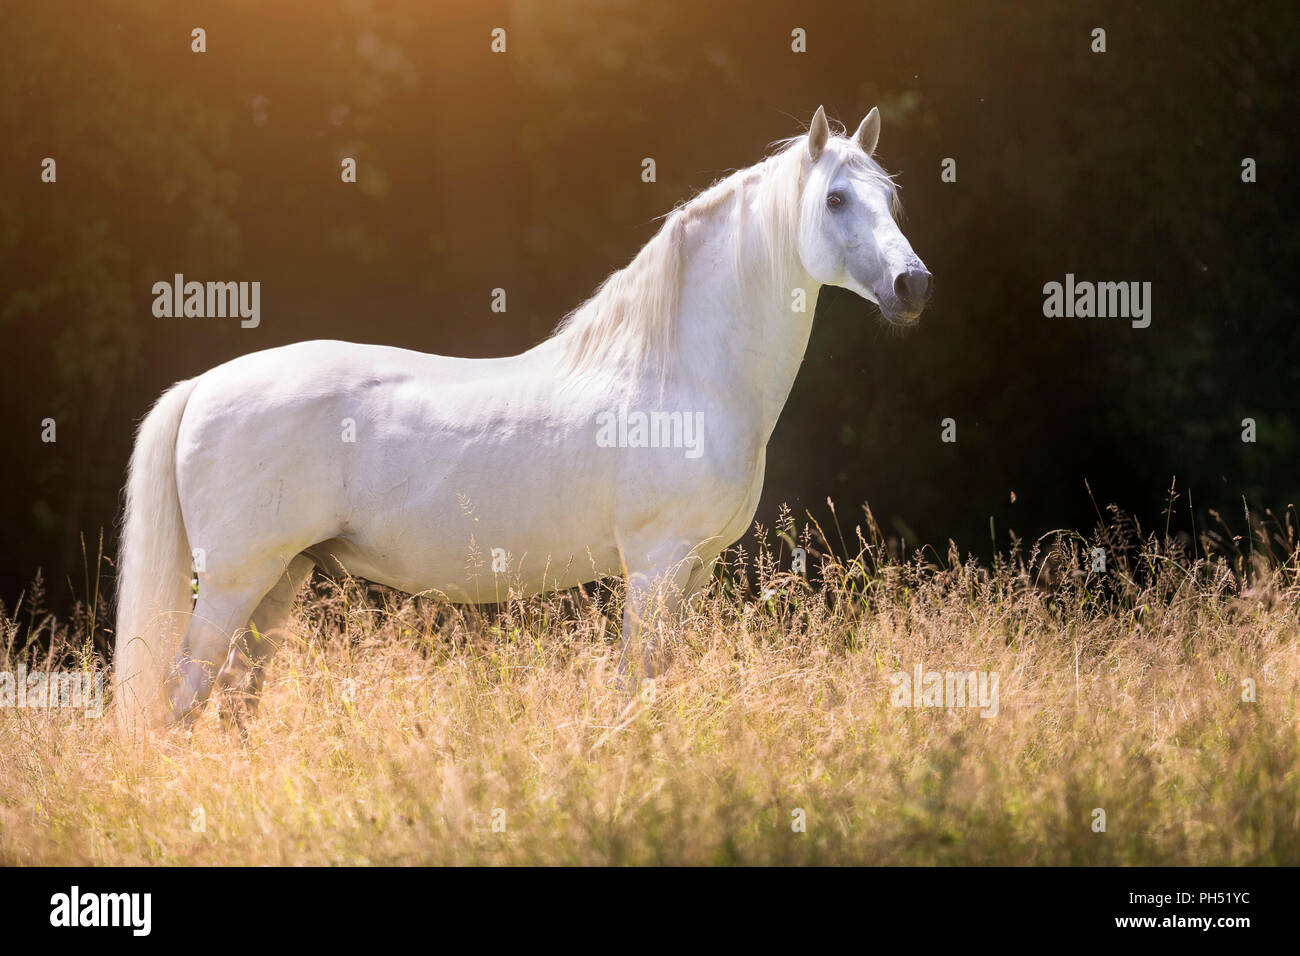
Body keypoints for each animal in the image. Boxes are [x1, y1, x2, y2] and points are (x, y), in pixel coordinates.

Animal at [113, 106, 931, 728]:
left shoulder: (693, 571)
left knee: (234, 703)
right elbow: (634, 689)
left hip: (279, 581)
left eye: (892, 198)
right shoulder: (656, 567)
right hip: (233, 583)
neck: (681, 373)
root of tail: (205, 384)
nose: (912, 285)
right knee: (183, 700)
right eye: (835, 199)